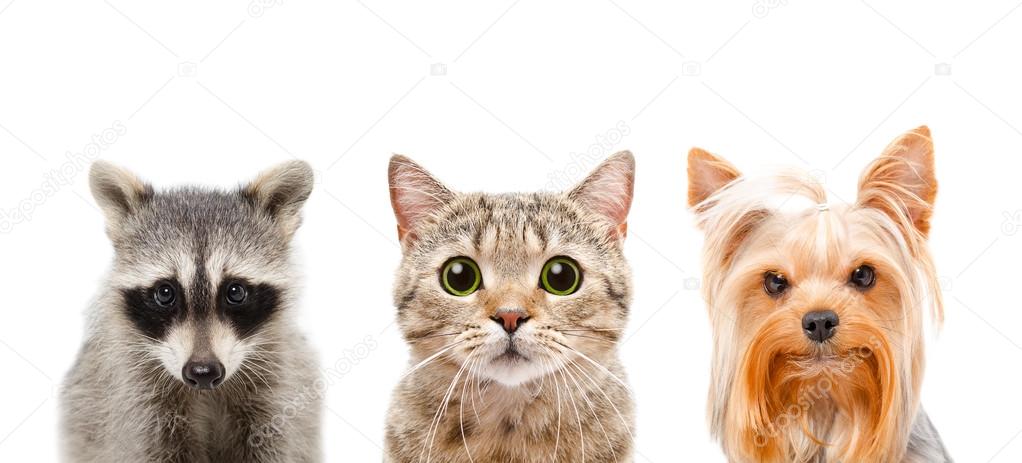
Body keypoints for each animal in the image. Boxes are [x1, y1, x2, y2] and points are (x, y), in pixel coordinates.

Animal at [60, 161, 321, 463]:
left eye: (235, 292)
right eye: (165, 293)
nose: (203, 372)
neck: (207, 392)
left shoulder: (278, 395)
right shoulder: (134, 402)